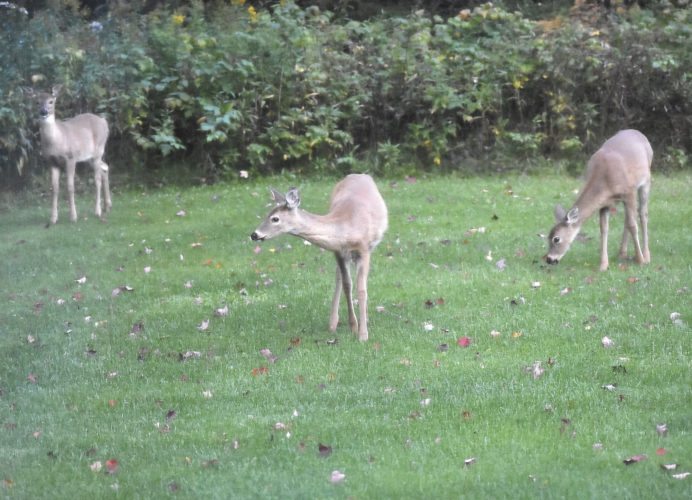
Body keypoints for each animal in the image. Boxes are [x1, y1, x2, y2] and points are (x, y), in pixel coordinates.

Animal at [27, 85, 111, 225]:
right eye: (37, 102)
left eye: (51, 101)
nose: (44, 112)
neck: (56, 141)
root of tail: (104, 121)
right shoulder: (51, 162)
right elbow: (54, 189)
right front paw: (53, 219)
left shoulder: (70, 158)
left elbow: (70, 187)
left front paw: (73, 217)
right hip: (89, 157)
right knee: (105, 169)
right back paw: (107, 206)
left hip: (98, 150)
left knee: (97, 179)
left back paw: (98, 211)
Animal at [251, 174, 388, 341]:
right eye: (267, 214)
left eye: (275, 218)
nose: (254, 234)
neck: (348, 228)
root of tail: (360, 174)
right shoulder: (339, 252)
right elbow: (347, 285)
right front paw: (353, 326)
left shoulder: (364, 250)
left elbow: (361, 290)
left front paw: (363, 335)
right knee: (339, 278)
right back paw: (333, 323)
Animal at [545, 129, 652, 271]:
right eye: (548, 236)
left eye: (556, 239)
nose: (549, 259)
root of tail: (639, 133)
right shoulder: (604, 203)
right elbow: (604, 229)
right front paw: (603, 265)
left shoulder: (629, 192)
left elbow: (633, 226)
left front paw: (640, 260)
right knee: (628, 218)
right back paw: (622, 253)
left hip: (646, 182)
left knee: (643, 214)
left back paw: (646, 256)